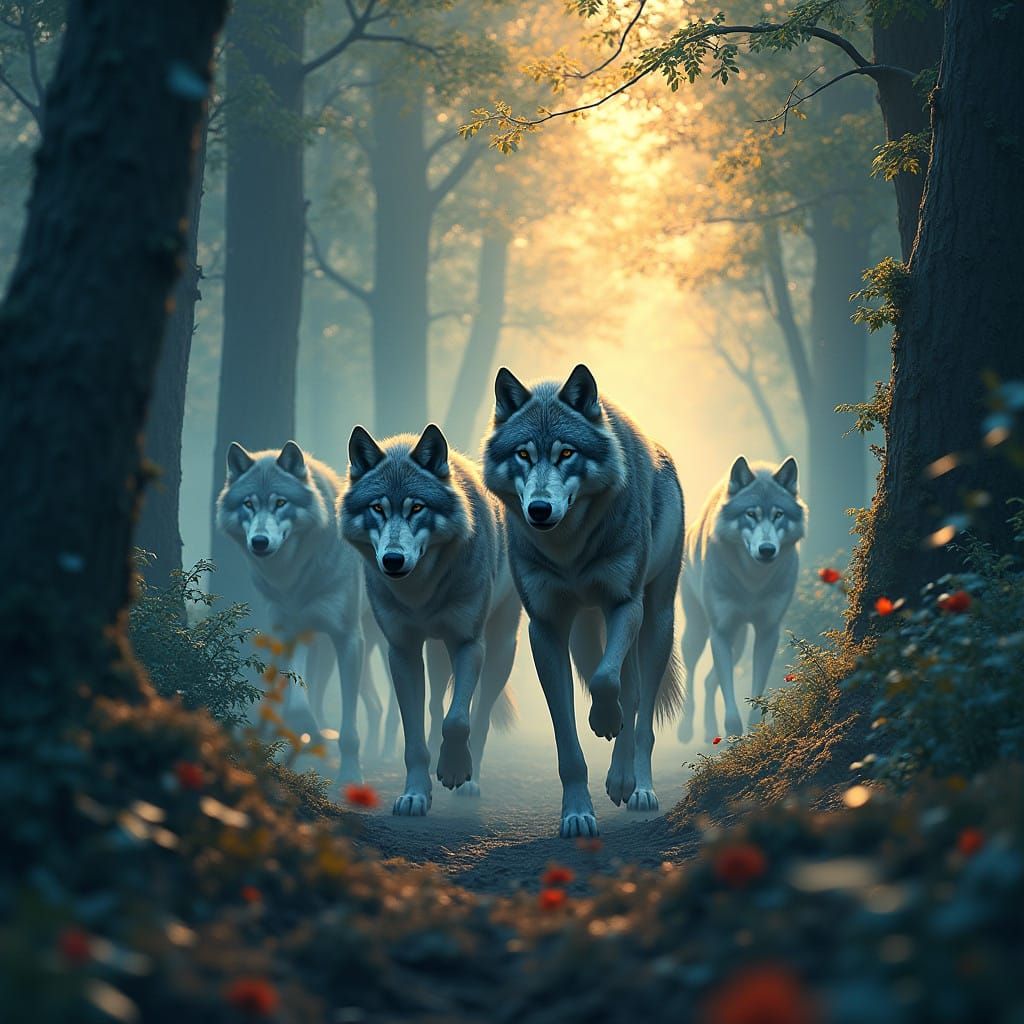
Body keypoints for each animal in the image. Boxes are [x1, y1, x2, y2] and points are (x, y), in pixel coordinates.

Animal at [215, 441, 370, 784]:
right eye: (248, 504)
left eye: (280, 503)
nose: (259, 542)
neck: (293, 578)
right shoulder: (289, 629)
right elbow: (297, 704)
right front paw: (307, 731)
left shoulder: (348, 637)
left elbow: (350, 729)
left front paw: (351, 775)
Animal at [341, 423, 521, 816]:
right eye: (377, 508)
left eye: (417, 508)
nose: (393, 560)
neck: (421, 594)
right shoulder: (402, 651)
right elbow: (415, 735)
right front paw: (415, 795)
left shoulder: (469, 643)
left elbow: (459, 720)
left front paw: (454, 771)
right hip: (437, 652)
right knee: (437, 704)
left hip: (499, 651)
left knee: (478, 716)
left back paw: (470, 781)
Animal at [482, 364, 684, 838]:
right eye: (523, 455)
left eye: (566, 453)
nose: (539, 509)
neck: (569, 551)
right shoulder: (546, 627)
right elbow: (568, 740)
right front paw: (576, 815)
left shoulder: (625, 604)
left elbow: (608, 684)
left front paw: (604, 722)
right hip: (585, 635)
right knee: (622, 685)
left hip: (655, 619)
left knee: (639, 705)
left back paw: (635, 785)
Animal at [676, 456, 806, 743]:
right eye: (751, 514)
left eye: (778, 514)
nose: (767, 550)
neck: (752, 582)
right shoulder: (721, 631)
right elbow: (729, 697)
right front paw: (734, 734)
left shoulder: (768, 632)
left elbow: (756, 692)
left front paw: (755, 731)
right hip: (698, 633)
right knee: (691, 676)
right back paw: (687, 728)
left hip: (738, 642)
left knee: (708, 681)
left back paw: (709, 731)